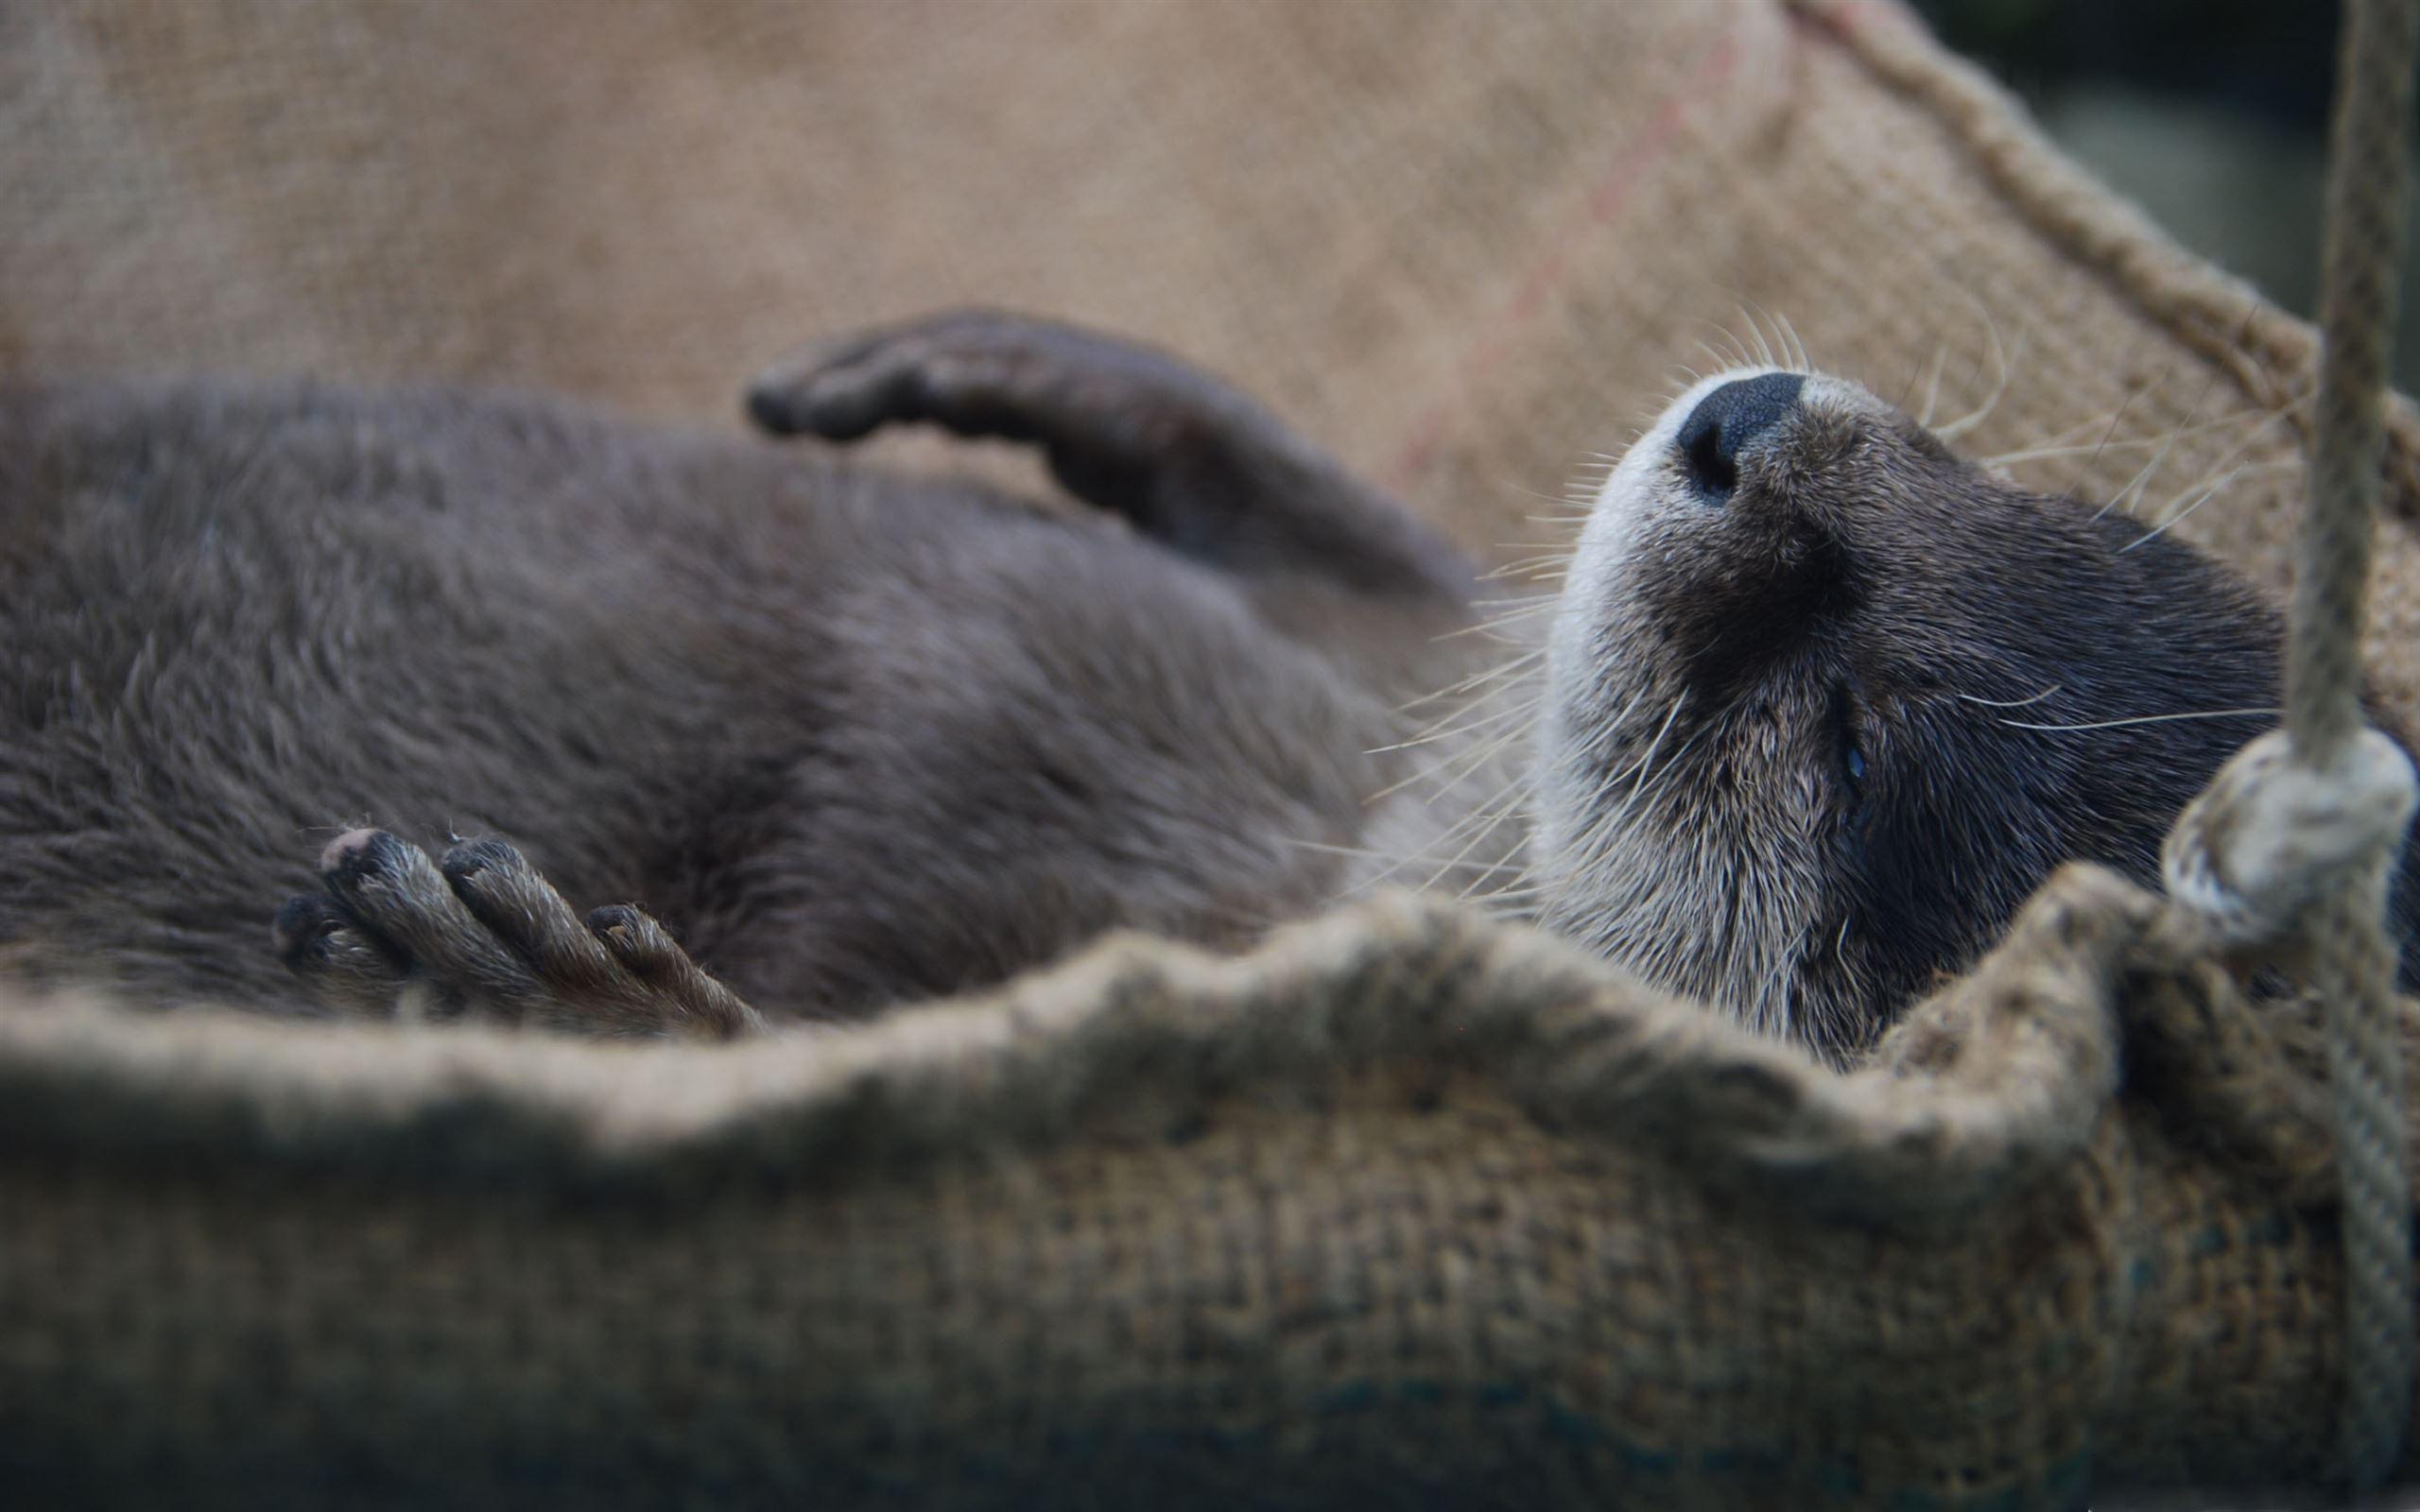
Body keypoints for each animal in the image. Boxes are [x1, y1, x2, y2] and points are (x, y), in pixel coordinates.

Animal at [0, 312, 2410, 1060]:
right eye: (2003, 485)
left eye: (1840, 736)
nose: (1742, 430)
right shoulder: (1355, 682)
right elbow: (1377, 565)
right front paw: (1032, 375)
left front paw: (548, 995)